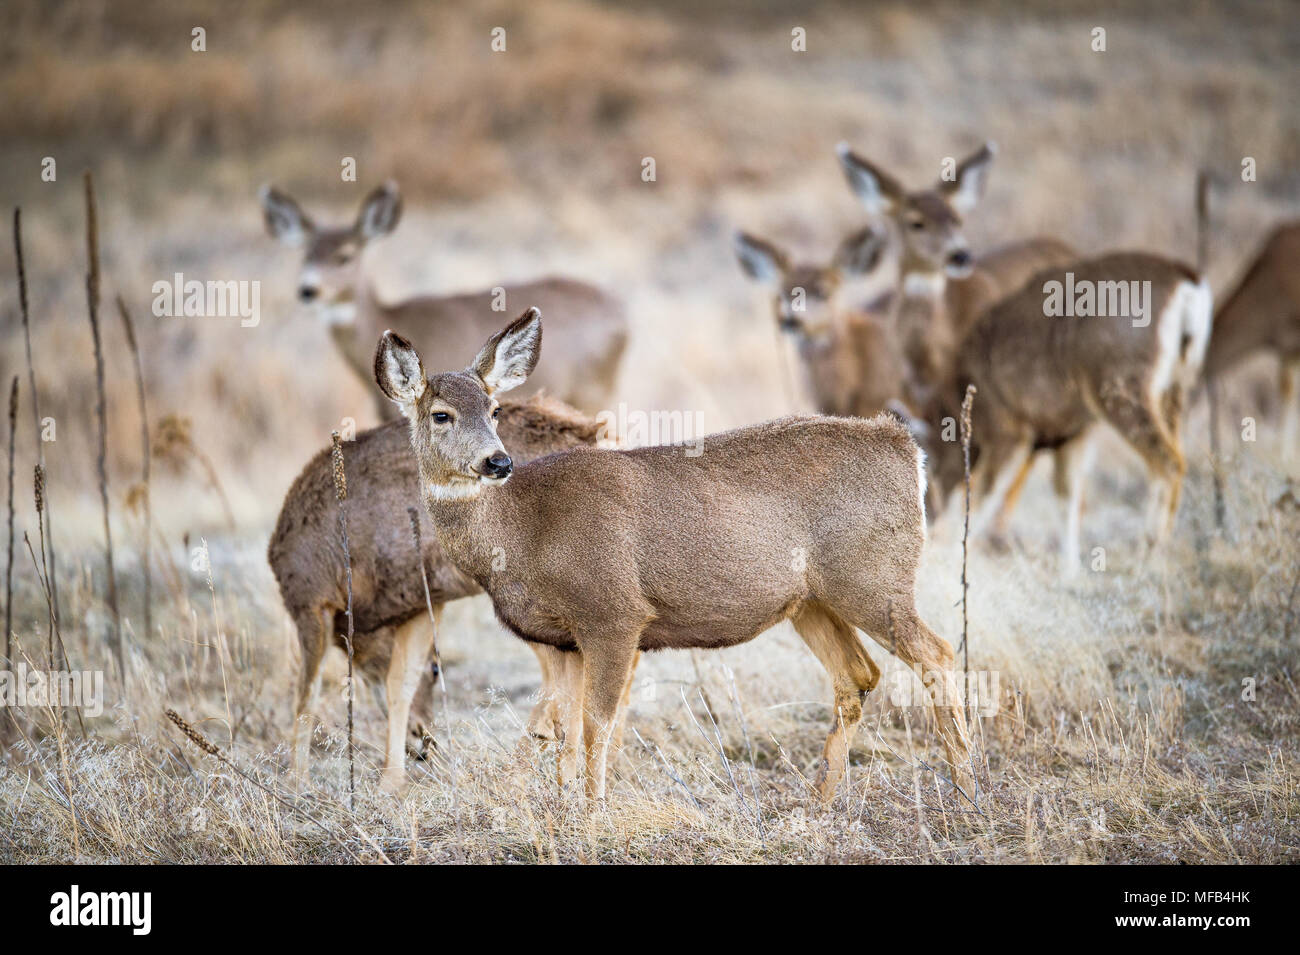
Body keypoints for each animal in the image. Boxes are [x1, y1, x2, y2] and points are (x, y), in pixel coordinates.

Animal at [269, 394, 636, 792]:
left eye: (437, 672)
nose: (422, 743)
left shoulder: (310, 599)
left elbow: (305, 696)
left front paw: (297, 782)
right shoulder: (419, 603)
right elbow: (399, 682)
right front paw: (392, 781)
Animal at [374, 308, 975, 806]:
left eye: (494, 408)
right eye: (441, 415)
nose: (497, 462)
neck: (523, 531)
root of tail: (905, 449)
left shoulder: (614, 613)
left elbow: (596, 723)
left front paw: (593, 816)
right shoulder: (563, 639)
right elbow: (563, 727)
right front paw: (564, 813)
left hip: (873, 578)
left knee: (937, 653)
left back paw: (968, 789)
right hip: (812, 601)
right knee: (858, 676)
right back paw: (820, 805)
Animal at [893, 252, 1213, 577]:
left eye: (926, 463)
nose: (928, 516)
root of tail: (1189, 284)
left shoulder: (1008, 429)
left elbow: (985, 493)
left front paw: (951, 559)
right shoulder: (1072, 432)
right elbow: (1067, 495)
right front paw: (1070, 571)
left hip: (1120, 384)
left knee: (1168, 463)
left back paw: (1148, 558)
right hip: (1174, 389)